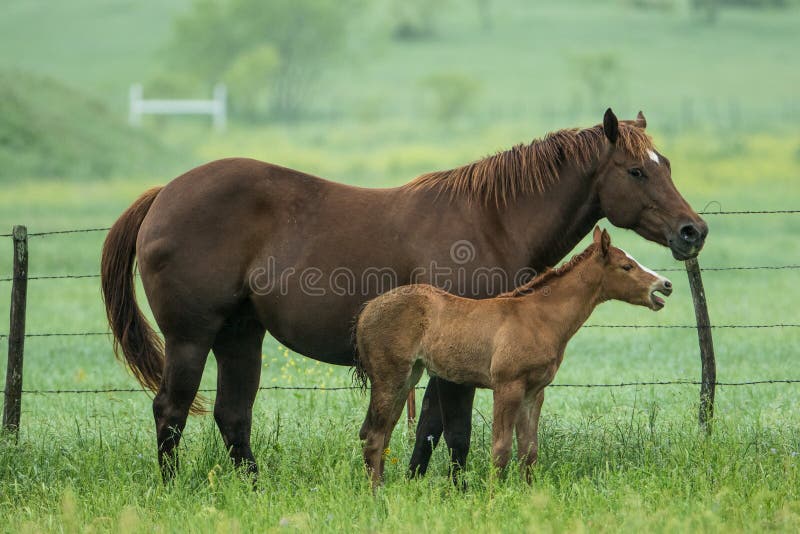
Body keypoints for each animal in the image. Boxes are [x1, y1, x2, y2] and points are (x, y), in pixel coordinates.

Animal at [355, 227, 672, 487]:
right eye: (627, 266)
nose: (666, 284)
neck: (538, 318)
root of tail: (367, 310)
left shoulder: (534, 392)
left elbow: (529, 450)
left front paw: (528, 493)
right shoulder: (508, 386)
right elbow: (501, 449)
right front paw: (494, 497)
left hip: (408, 377)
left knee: (381, 434)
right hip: (390, 378)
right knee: (374, 439)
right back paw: (376, 495)